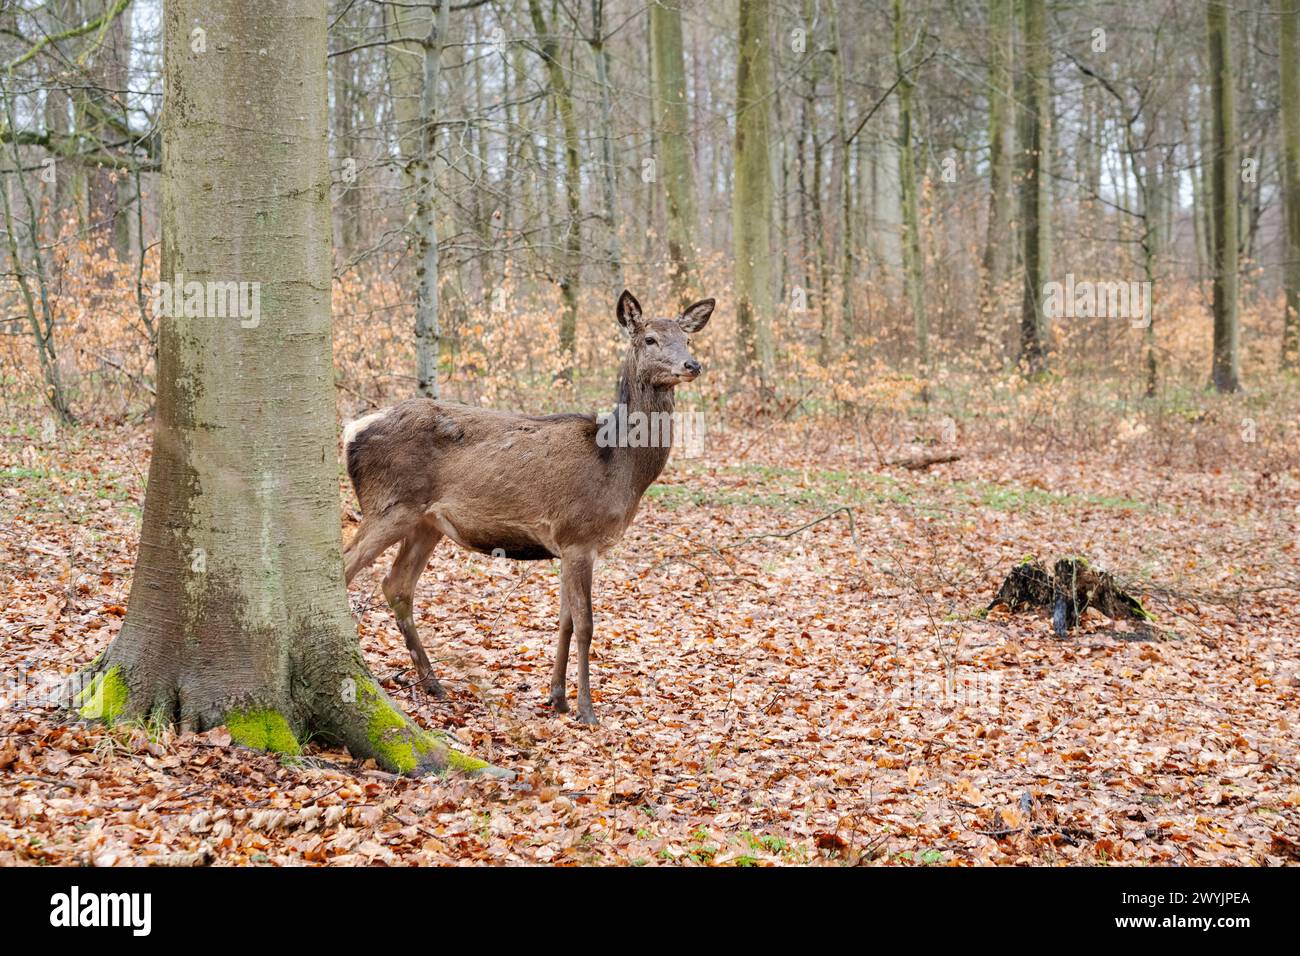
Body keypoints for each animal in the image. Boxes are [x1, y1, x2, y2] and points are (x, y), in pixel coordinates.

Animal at [341, 290, 714, 725]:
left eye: (687, 338)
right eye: (650, 339)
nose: (692, 365)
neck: (620, 466)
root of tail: (351, 430)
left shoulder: (567, 546)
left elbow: (564, 621)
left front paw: (558, 698)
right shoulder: (578, 535)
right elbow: (586, 624)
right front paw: (587, 710)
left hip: (425, 521)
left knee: (396, 584)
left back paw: (434, 684)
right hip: (388, 504)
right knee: (345, 567)